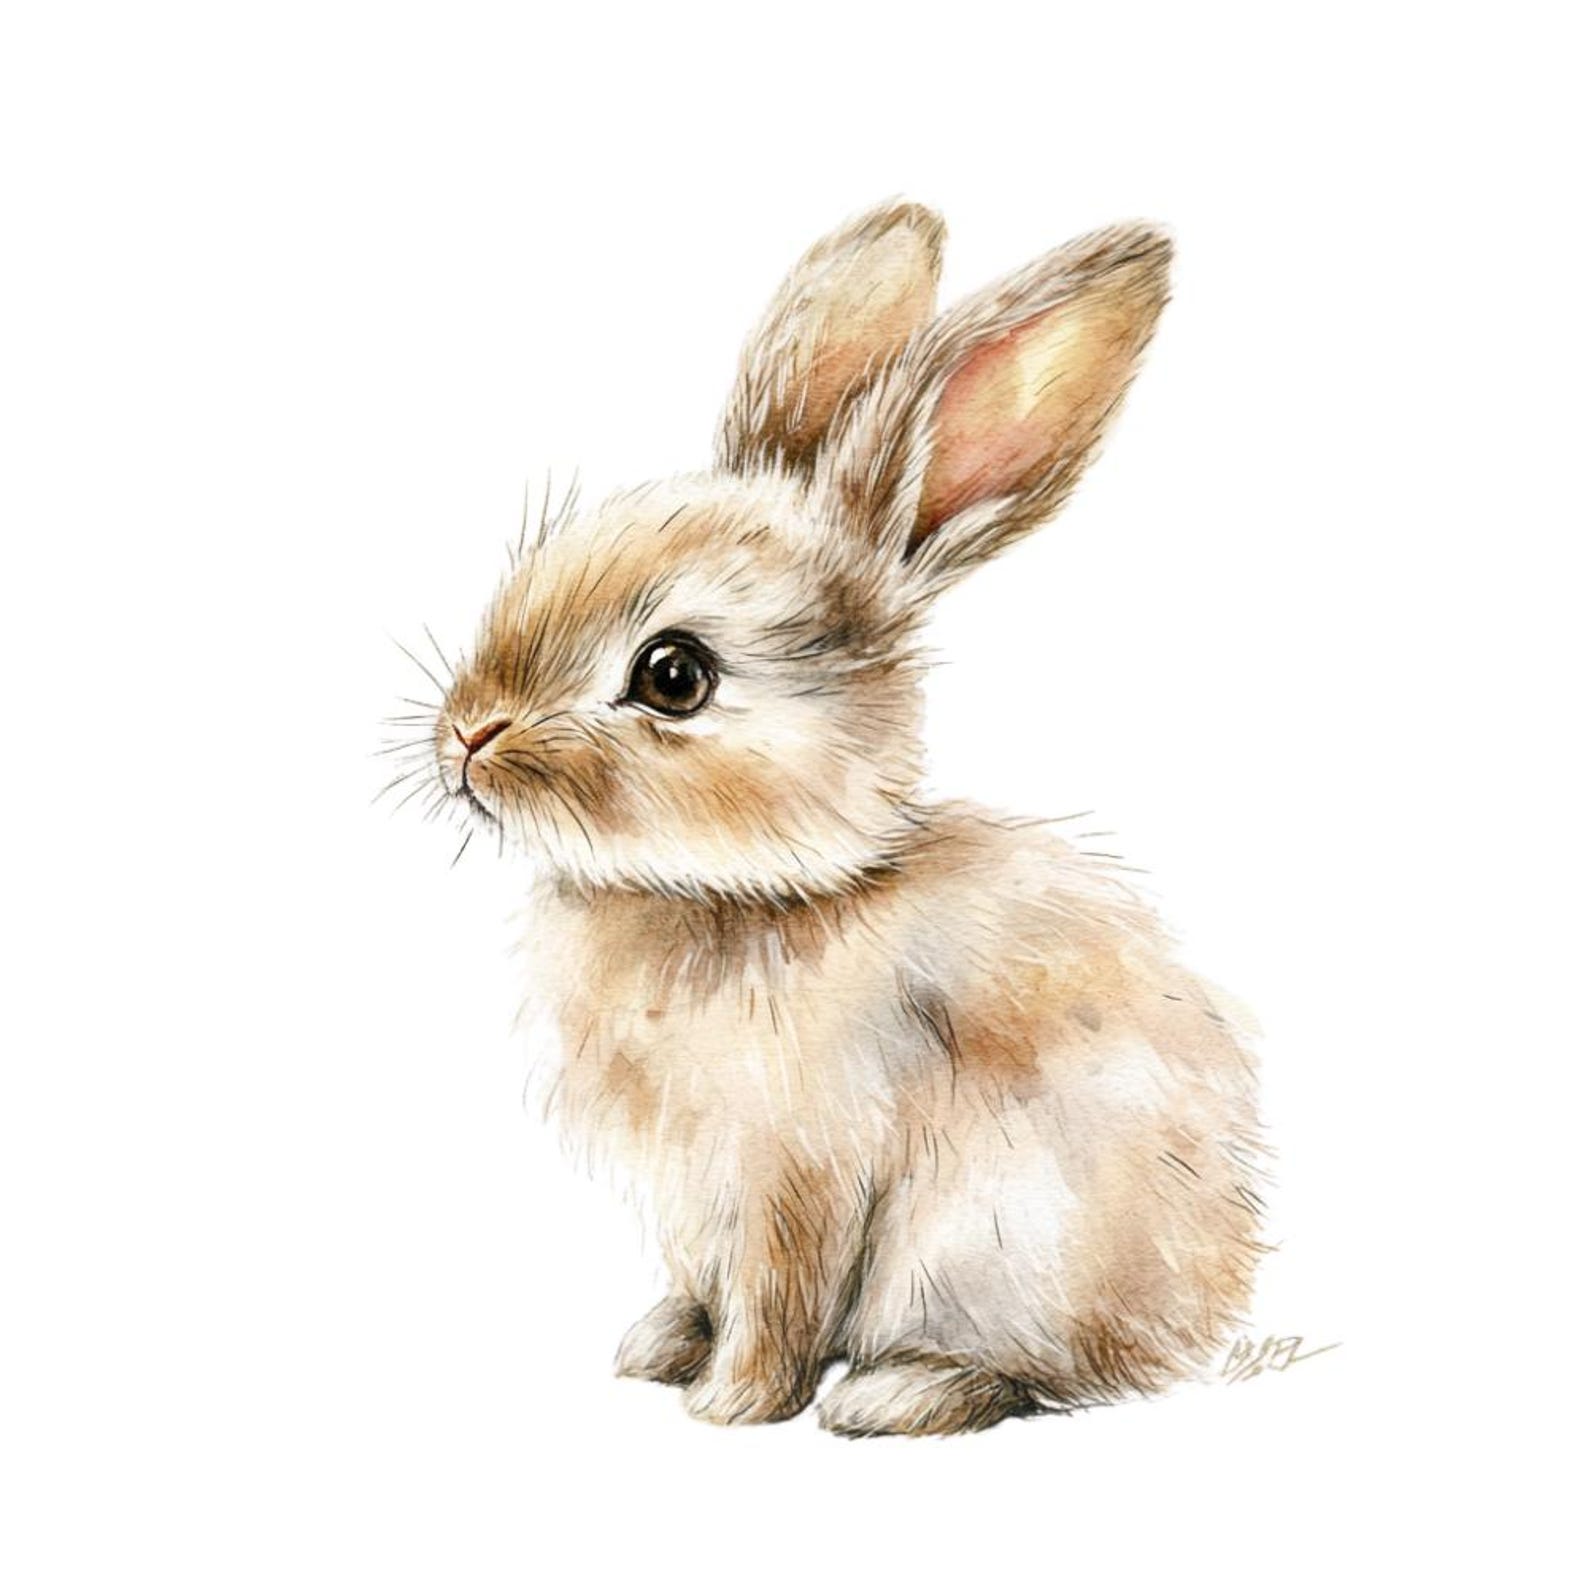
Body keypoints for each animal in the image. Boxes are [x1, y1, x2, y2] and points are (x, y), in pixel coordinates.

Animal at [417, 200, 1266, 1436]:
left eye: (673, 676)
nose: (467, 737)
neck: (747, 893)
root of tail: (1197, 1332)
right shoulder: (700, 1207)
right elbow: (708, 1285)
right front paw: (658, 1346)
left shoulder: (798, 1178)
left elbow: (778, 1302)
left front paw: (730, 1407)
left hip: (999, 1248)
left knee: (1041, 1374)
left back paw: (895, 1396)